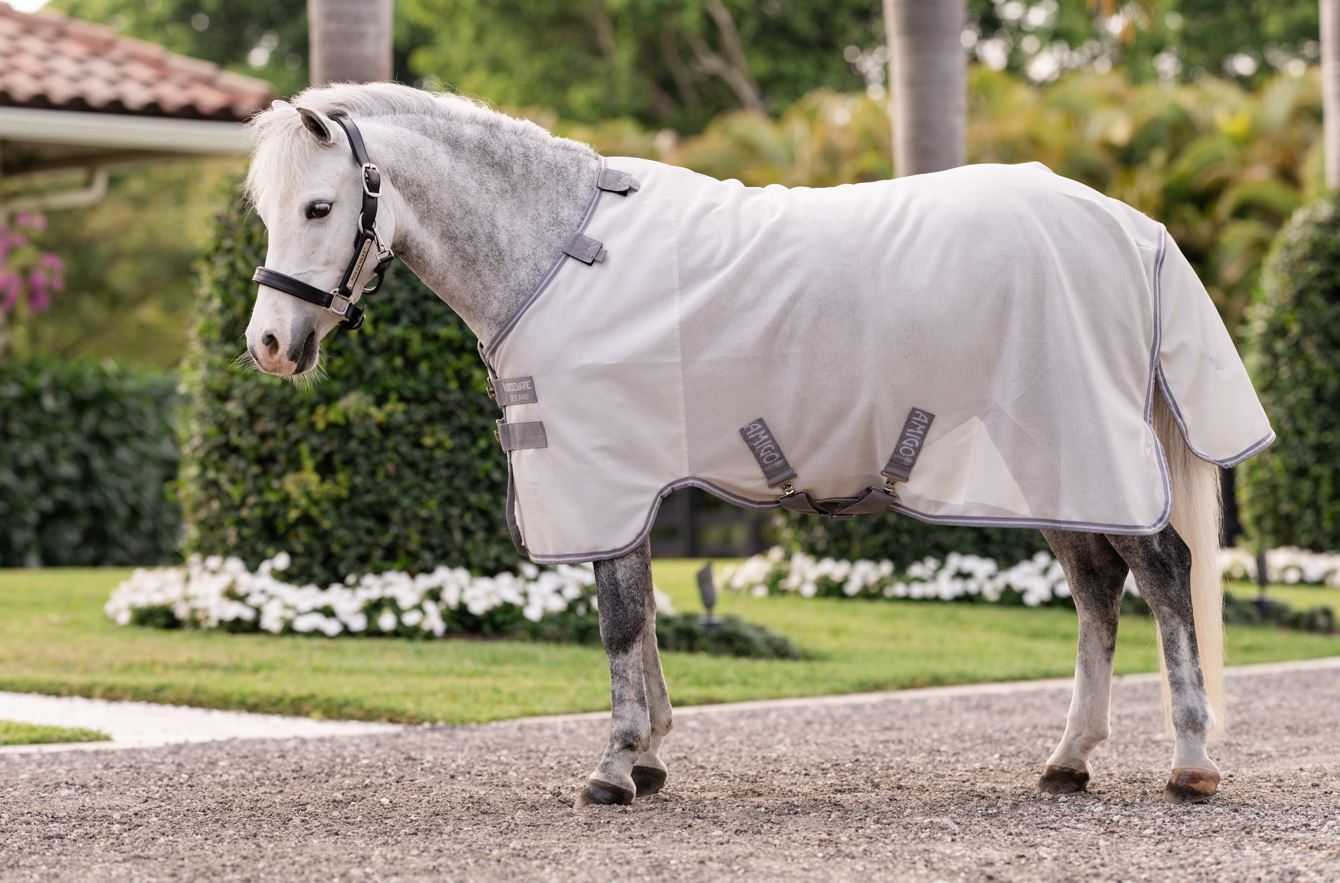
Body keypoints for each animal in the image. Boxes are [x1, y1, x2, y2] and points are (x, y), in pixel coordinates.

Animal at [241, 82, 1273, 808]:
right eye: (265, 209)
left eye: (321, 207)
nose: (269, 345)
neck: (558, 253)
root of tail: (1133, 227)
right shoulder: (634, 485)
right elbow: (646, 617)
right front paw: (651, 754)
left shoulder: (606, 478)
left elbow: (619, 620)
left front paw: (615, 766)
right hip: (1054, 467)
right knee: (1099, 589)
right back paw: (1068, 760)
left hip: (1085, 450)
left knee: (1165, 573)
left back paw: (1189, 759)